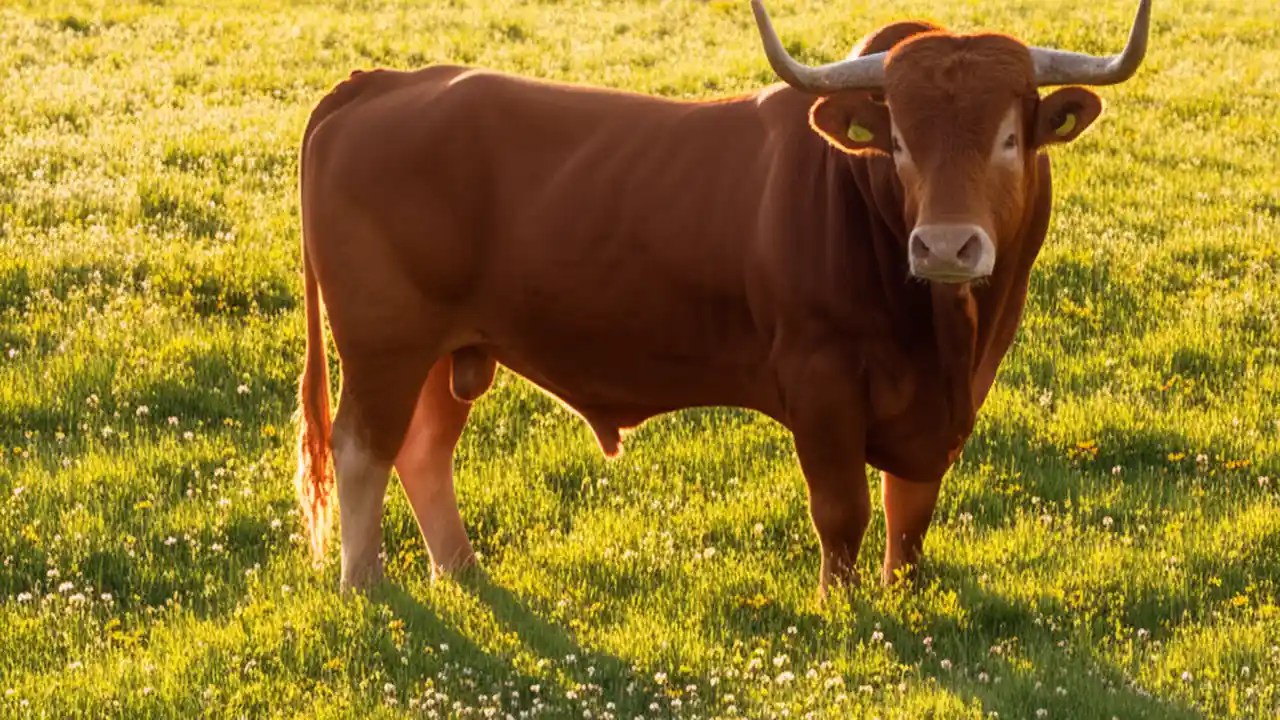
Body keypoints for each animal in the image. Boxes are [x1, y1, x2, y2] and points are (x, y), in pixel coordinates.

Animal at [293, 0, 1152, 593]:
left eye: (1009, 138)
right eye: (899, 142)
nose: (944, 247)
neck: (944, 340)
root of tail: (381, 84)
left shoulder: (946, 404)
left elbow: (910, 515)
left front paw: (899, 597)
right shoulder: (820, 384)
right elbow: (843, 510)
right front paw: (842, 608)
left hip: (454, 351)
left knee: (423, 450)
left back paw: (463, 571)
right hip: (385, 343)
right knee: (364, 448)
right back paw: (367, 585)